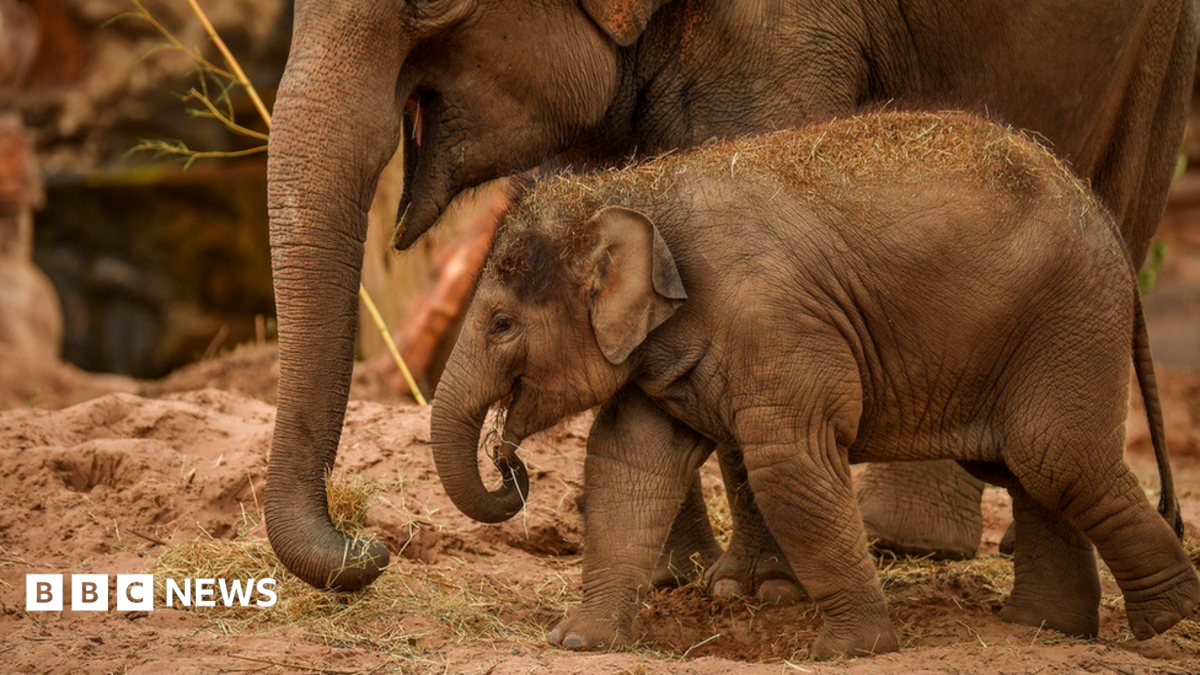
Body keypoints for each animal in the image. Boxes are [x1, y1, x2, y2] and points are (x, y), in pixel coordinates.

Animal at [429, 111, 1198, 658]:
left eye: (501, 323)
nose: (509, 462)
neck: (634, 188)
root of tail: (1108, 223)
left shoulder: (774, 321)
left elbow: (790, 467)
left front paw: (848, 650)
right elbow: (626, 464)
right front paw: (578, 642)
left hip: (1068, 324)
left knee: (1056, 459)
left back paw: (1166, 623)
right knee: (1026, 468)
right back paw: (1043, 628)